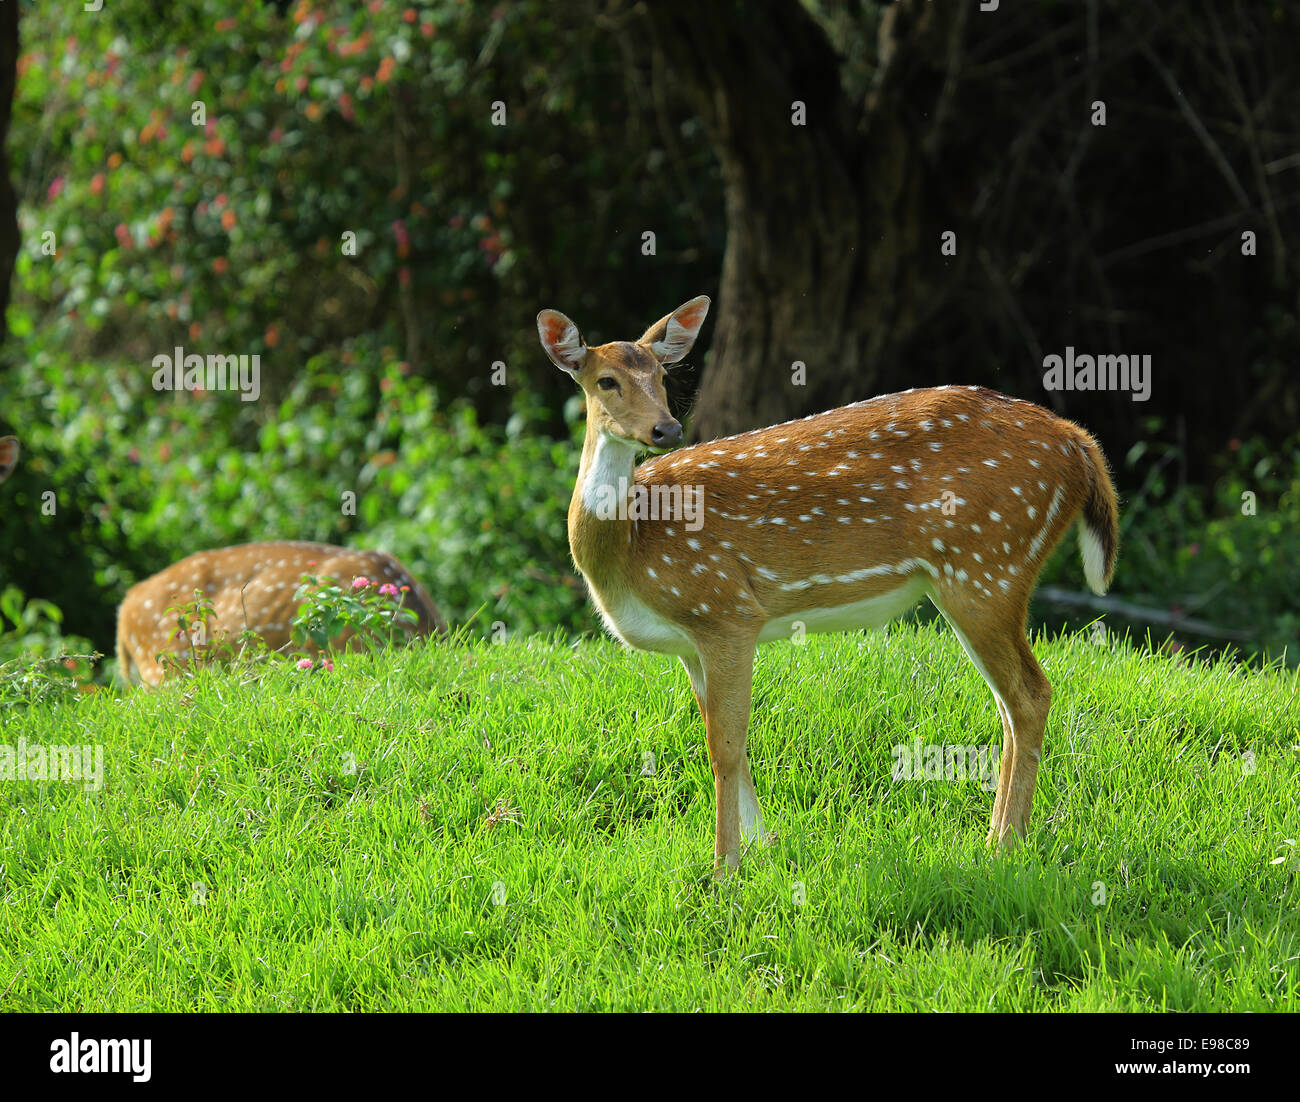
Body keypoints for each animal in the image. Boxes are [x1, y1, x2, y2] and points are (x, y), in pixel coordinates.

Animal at [538, 296, 1120, 874]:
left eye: (661, 376)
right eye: (606, 380)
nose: (666, 430)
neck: (633, 549)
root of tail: (1079, 442)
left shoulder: (724, 608)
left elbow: (724, 744)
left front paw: (725, 871)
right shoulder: (689, 644)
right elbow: (729, 743)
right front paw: (766, 848)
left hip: (988, 564)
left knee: (1030, 694)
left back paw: (1003, 848)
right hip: (979, 575)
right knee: (1008, 702)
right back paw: (999, 836)